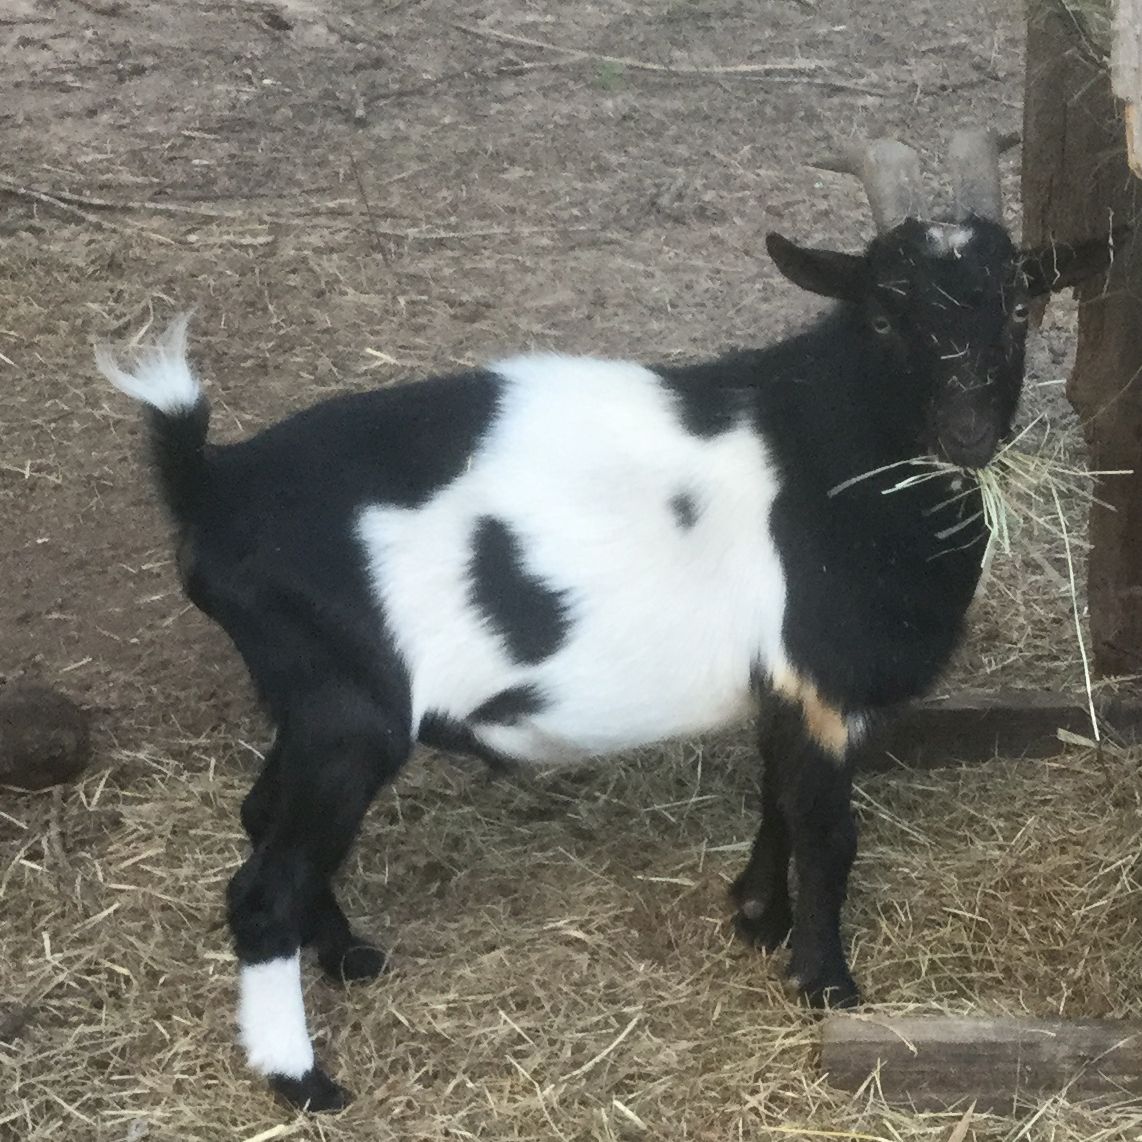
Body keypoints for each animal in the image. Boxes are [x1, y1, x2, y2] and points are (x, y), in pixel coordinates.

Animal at [97, 128, 1116, 1111]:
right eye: (882, 310)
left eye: (1019, 305)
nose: (966, 436)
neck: (836, 451)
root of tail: (212, 483)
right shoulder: (821, 682)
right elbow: (828, 832)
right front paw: (827, 984)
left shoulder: (784, 686)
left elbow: (776, 803)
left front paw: (755, 917)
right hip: (349, 714)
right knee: (262, 890)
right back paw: (303, 1081)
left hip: (310, 704)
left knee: (262, 816)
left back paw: (349, 955)